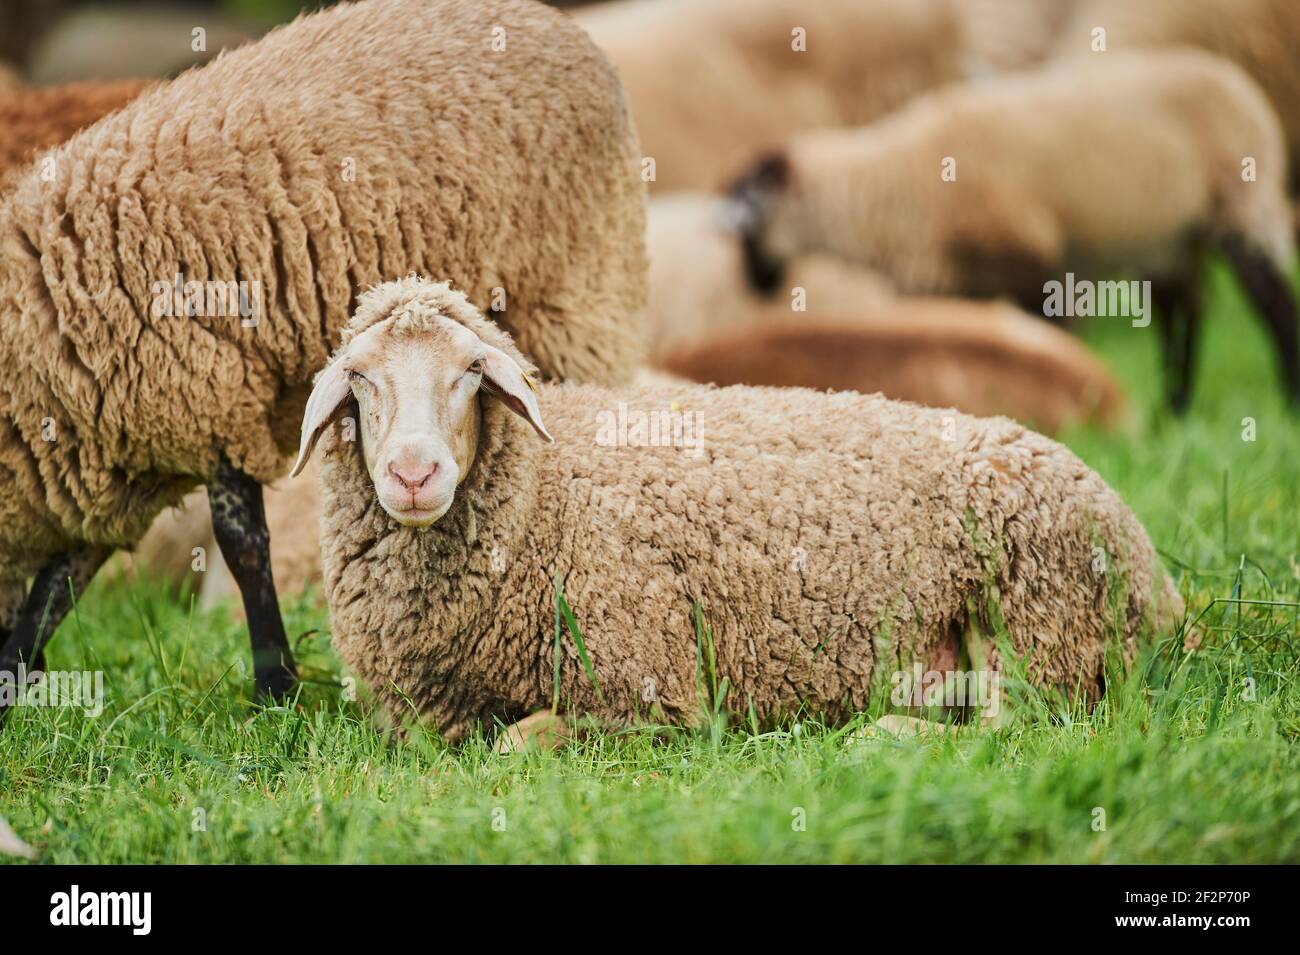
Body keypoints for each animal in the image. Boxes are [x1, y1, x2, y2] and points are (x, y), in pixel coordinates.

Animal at [0, 0, 647, 704]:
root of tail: (563, 29)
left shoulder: (215, 396)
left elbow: (242, 544)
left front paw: (275, 684)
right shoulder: (121, 452)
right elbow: (62, 581)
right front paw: (17, 672)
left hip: (575, 296)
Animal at [294, 277, 1180, 746]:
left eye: (473, 372)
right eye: (359, 377)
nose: (413, 473)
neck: (546, 489)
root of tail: (1162, 584)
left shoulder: (645, 688)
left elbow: (521, 739)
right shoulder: (419, 717)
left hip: (1039, 617)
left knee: (1033, 722)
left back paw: (880, 735)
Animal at [729, 49, 1300, 412]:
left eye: (746, 225)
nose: (756, 286)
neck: (892, 184)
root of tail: (1236, 79)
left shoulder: (1038, 263)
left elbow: (1056, 339)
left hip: (1242, 206)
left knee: (1272, 301)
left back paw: (1285, 397)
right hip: (1175, 237)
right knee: (1186, 311)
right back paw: (1177, 402)